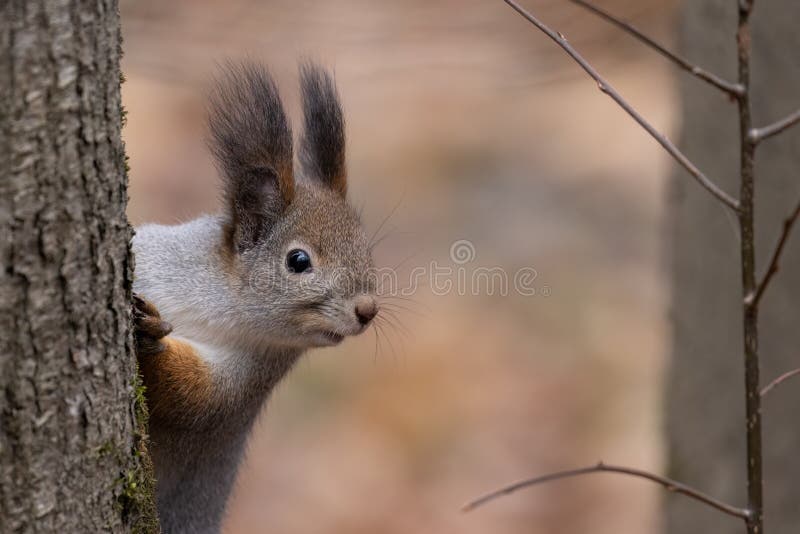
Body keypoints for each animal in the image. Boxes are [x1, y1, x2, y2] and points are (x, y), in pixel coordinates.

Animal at [131, 62, 379, 534]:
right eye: (298, 261)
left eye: (366, 249)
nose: (368, 310)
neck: (210, 301)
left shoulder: (245, 385)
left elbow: (193, 398)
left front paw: (149, 338)